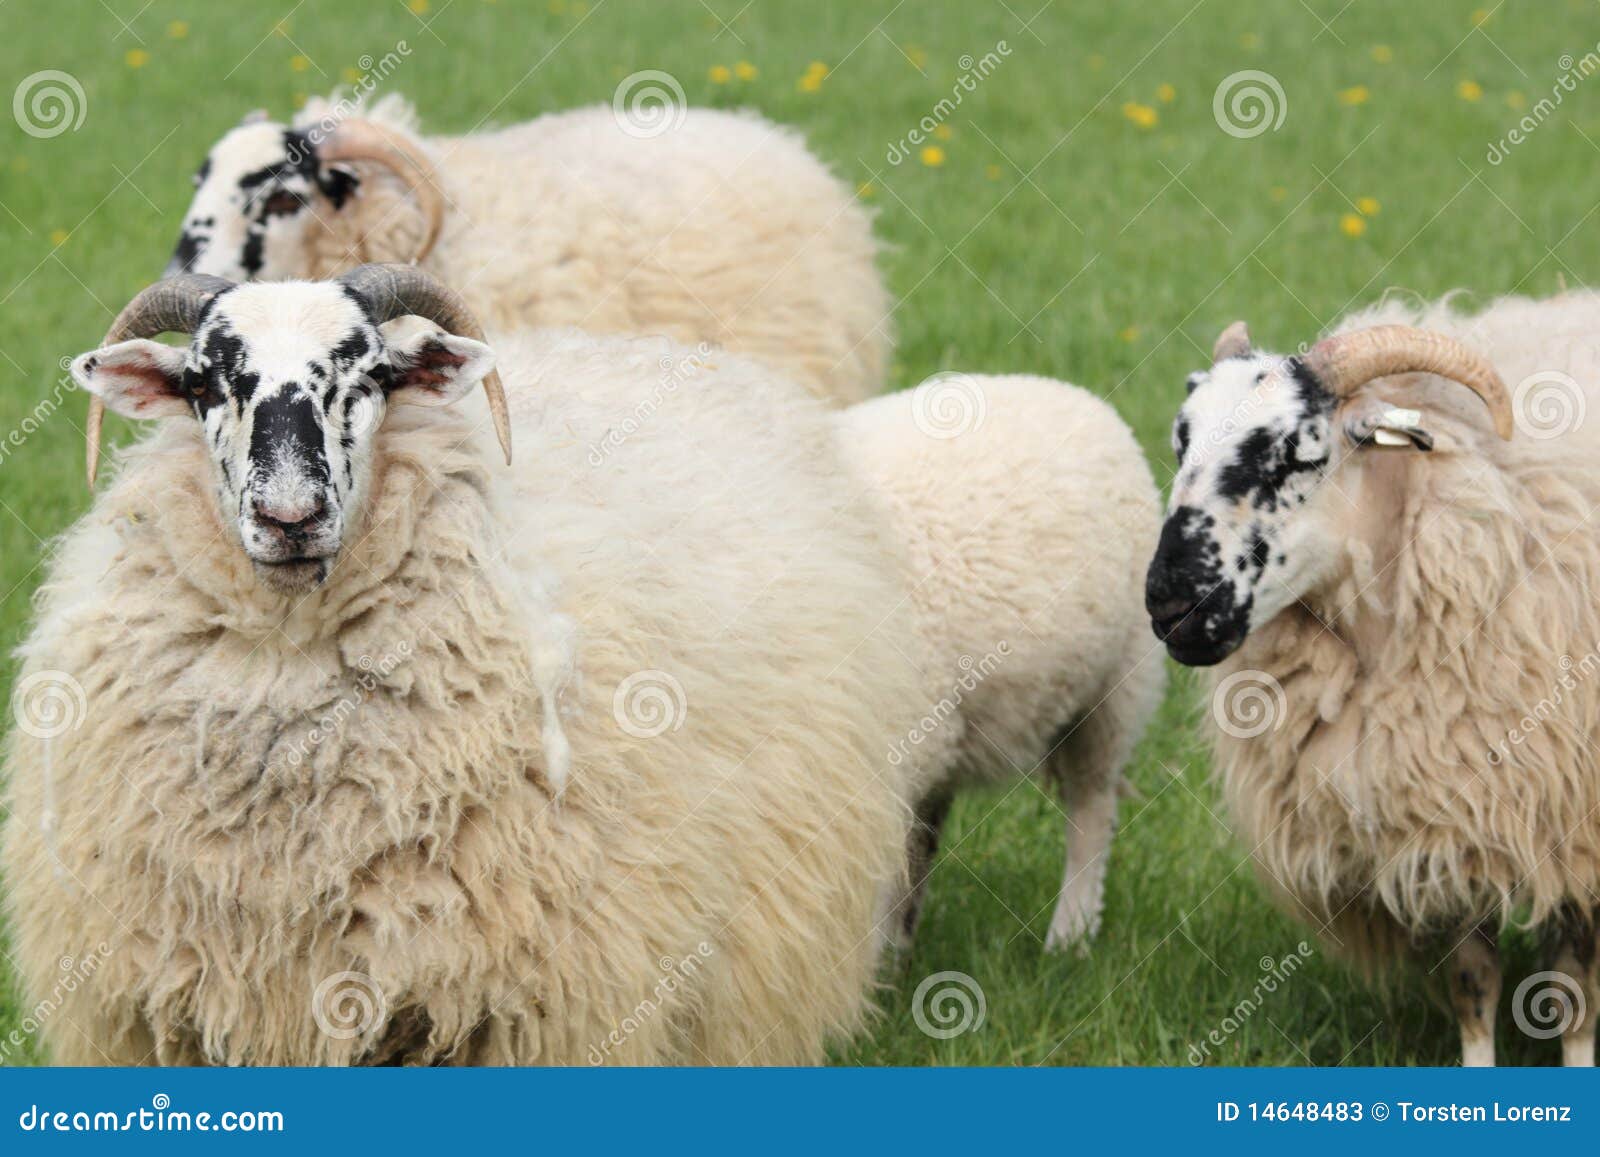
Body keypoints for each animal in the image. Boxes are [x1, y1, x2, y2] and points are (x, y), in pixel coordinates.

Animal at [1144, 295, 1600, 1066]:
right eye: (1182, 442)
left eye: (1300, 453)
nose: (1170, 603)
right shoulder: (1442, 820)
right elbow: (1474, 984)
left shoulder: (1569, 833)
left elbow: (1571, 995)